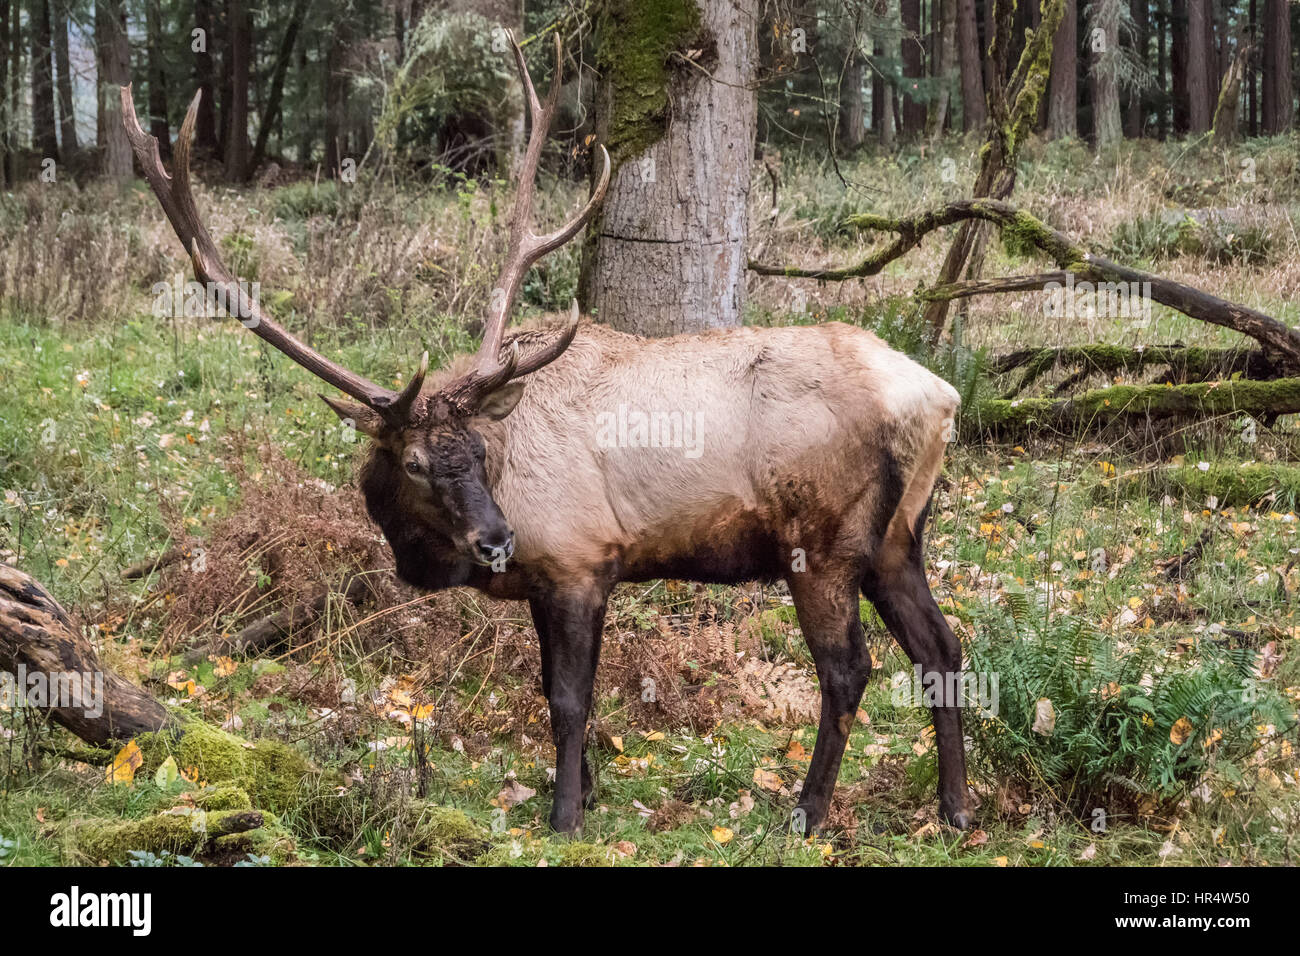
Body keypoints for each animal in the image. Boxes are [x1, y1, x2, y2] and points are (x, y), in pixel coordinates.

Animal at [121, 32, 972, 836]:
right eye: (418, 462)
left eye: (474, 453)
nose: (496, 538)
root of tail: (938, 395)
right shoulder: (541, 575)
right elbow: (545, 686)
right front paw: (583, 793)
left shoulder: (580, 559)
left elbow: (568, 698)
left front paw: (565, 815)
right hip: (898, 538)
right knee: (944, 648)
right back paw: (956, 809)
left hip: (821, 541)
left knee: (849, 669)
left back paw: (810, 812)